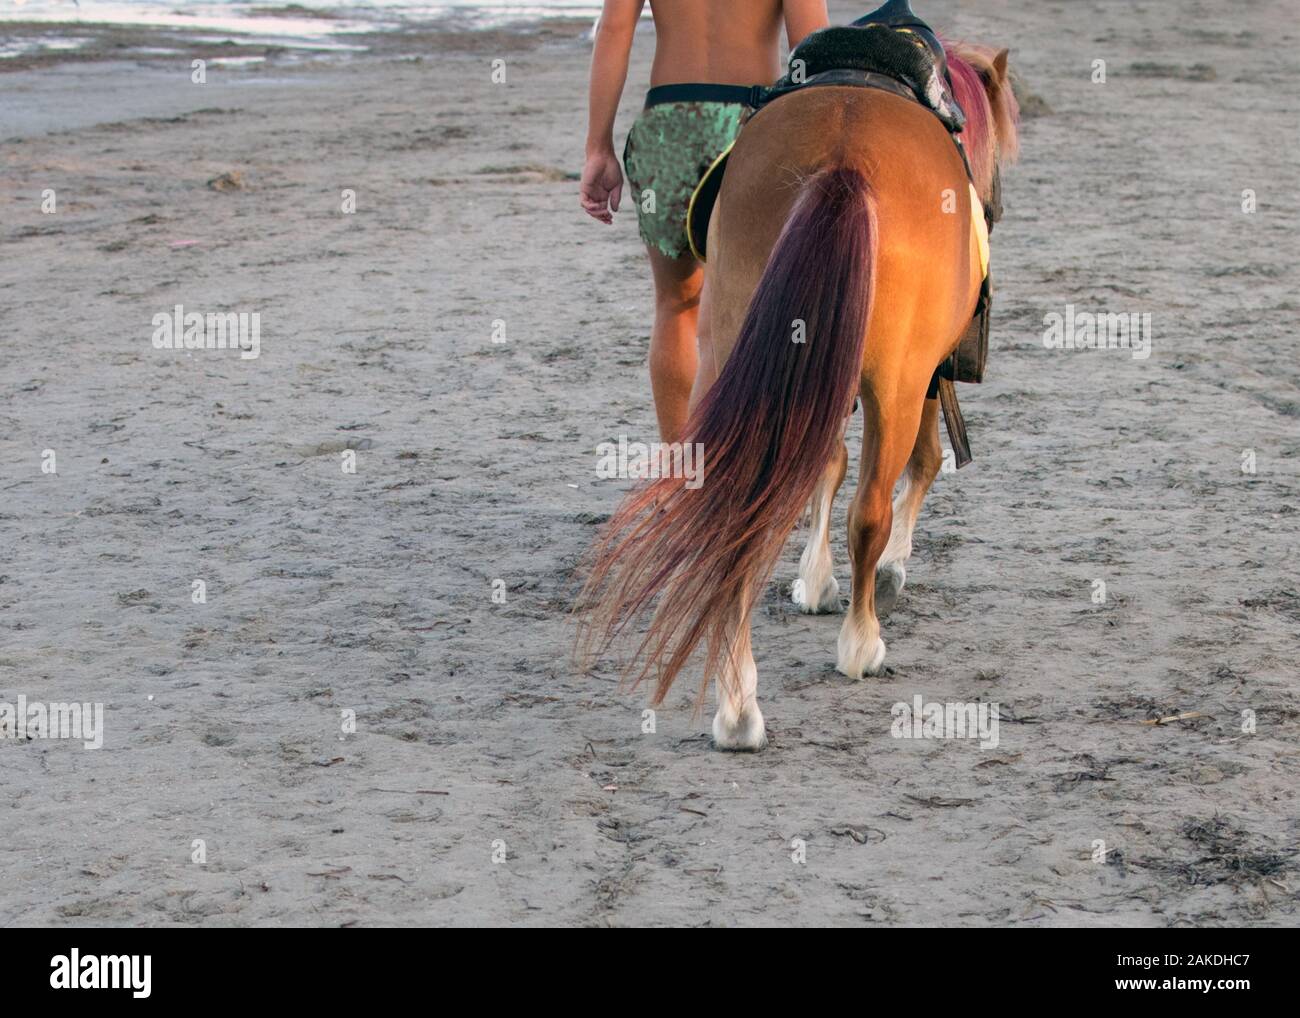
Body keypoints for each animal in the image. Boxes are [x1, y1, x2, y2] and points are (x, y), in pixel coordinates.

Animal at [577, 42, 1021, 751]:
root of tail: (843, 158)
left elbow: (821, 467)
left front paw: (814, 579)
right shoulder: (923, 375)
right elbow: (919, 466)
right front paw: (885, 573)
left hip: (730, 352)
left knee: (740, 508)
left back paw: (737, 704)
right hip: (895, 383)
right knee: (870, 510)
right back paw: (860, 644)